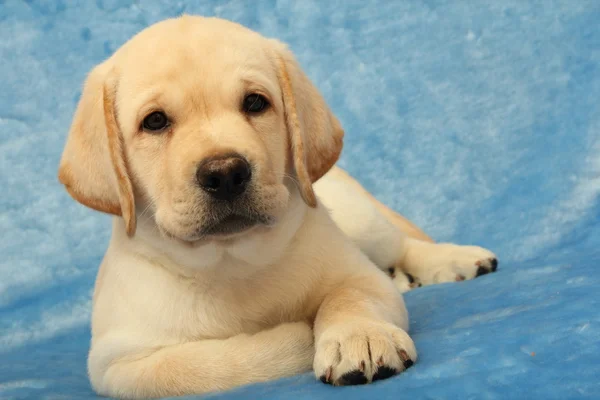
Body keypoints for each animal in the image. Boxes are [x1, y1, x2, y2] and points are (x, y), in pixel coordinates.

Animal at [57, 15, 496, 400]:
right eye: (154, 122)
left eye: (255, 103)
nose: (226, 173)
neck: (231, 260)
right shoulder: (120, 363)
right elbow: (201, 366)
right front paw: (296, 336)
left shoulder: (358, 275)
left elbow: (349, 297)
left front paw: (360, 336)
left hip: (363, 224)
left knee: (403, 246)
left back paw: (459, 259)